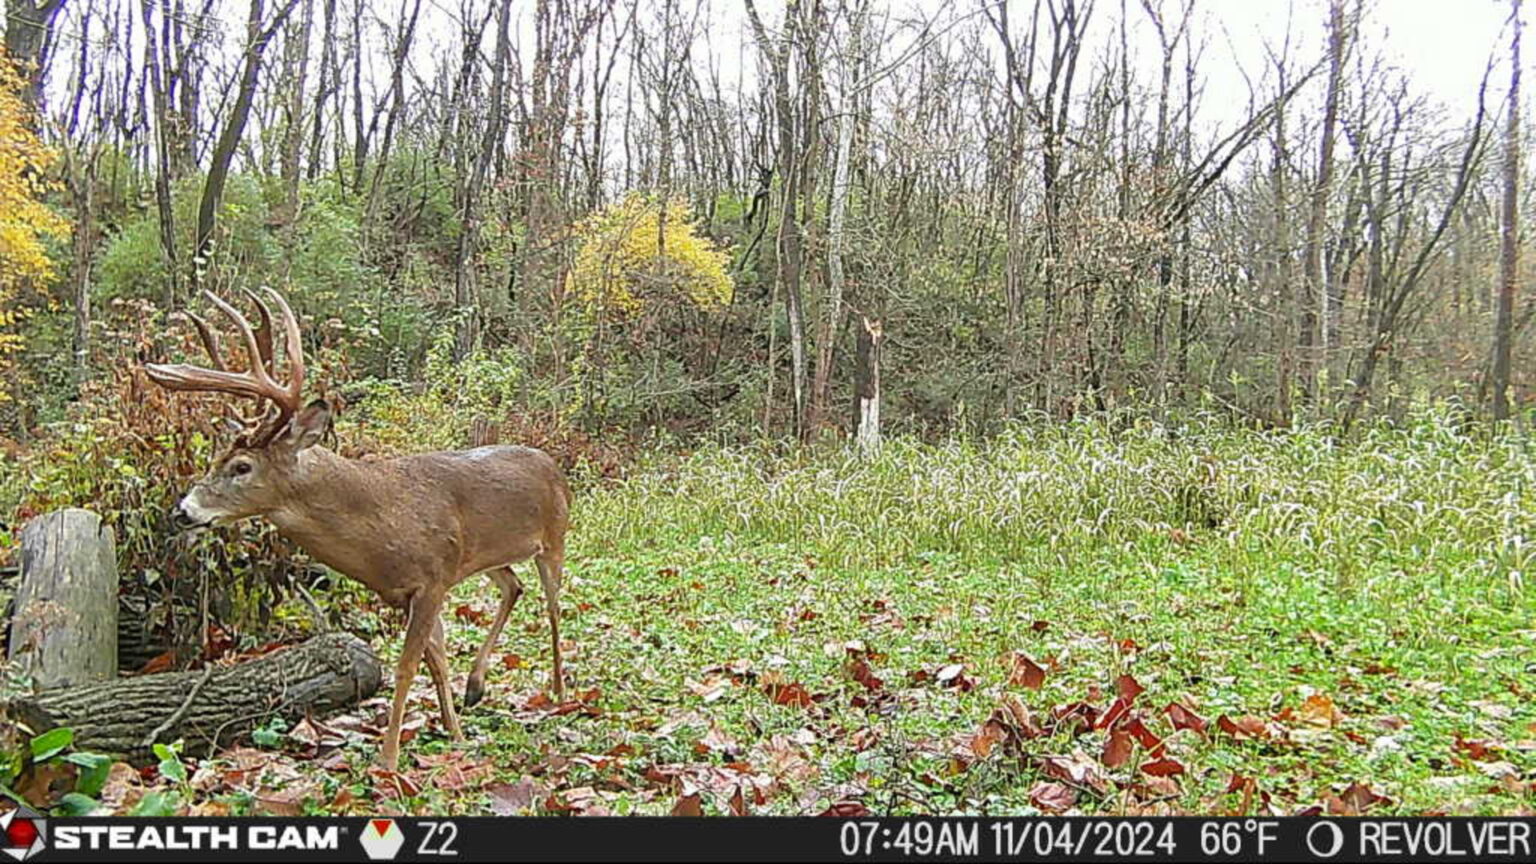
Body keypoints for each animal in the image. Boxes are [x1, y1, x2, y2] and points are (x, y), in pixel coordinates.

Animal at [143, 287, 569, 771]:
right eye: (215, 459)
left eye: (242, 466)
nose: (184, 510)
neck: (382, 521)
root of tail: (552, 463)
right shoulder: (412, 588)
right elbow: (437, 660)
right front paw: (455, 732)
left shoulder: (433, 578)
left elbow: (407, 666)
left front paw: (388, 759)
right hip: (487, 556)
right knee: (513, 586)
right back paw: (476, 688)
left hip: (555, 538)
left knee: (554, 607)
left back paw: (558, 691)